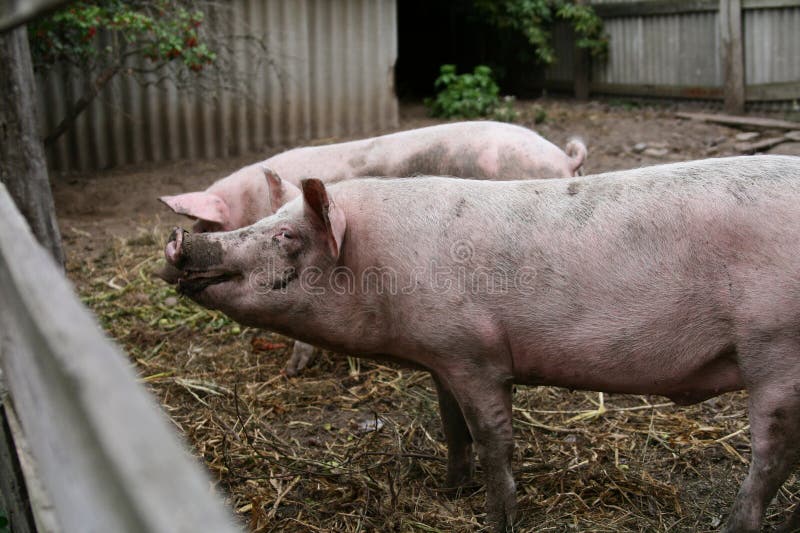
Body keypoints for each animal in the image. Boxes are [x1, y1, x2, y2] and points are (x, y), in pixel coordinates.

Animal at [160, 155, 800, 532]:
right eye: (263, 221)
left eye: (288, 235)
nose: (180, 242)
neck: (379, 264)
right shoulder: (440, 357)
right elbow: (452, 428)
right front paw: (449, 490)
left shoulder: (475, 353)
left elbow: (495, 439)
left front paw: (499, 518)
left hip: (776, 348)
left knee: (773, 457)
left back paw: (730, 527)